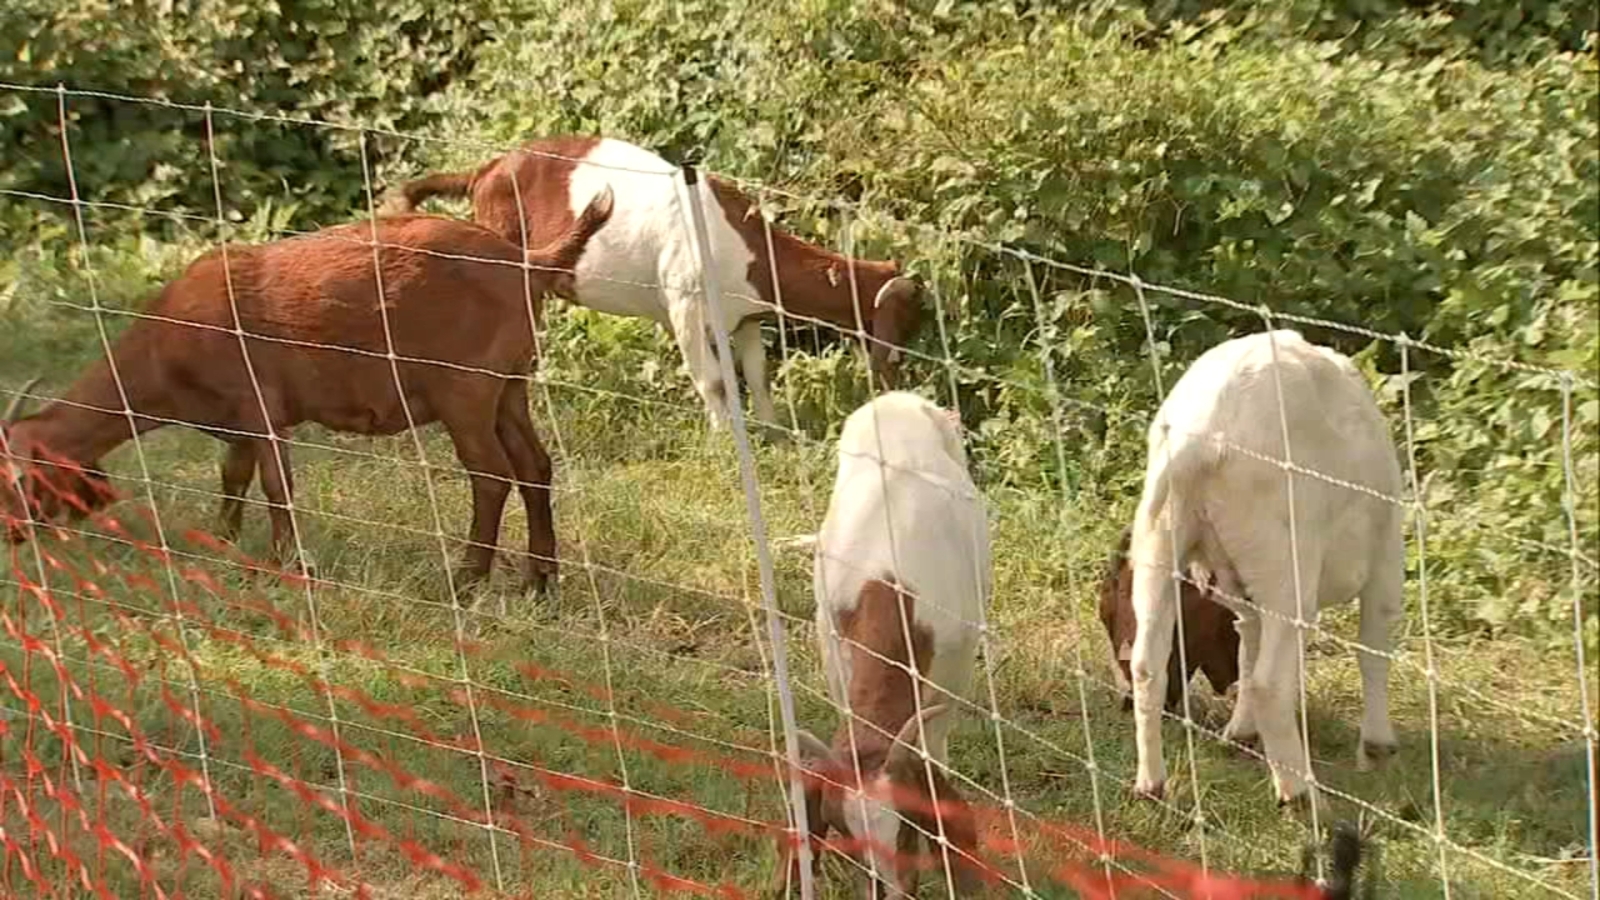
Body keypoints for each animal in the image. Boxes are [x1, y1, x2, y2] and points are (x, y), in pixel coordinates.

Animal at [1, 189, 614, 597]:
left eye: (13, 481)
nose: (9, 536)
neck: (163, 351)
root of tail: (527, 262)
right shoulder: (236, 419)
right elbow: (234, 475)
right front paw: (225, 539)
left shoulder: (258, 403)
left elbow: (277, 485)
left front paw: (291, 563)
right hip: (511, 384)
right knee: (534, 466)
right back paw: (541, 582)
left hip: (465, 388)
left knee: (490, 475)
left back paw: (465, 579)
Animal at [381, 136, 926, 429]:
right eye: (898, 321)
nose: (896, 375)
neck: (749, 250)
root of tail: (487, 169)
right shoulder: (684, 304)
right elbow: (713, 379)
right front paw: (723, 441)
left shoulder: (746, 315)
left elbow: (754, 373)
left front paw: (772, 432)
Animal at [781, 391, 989, 898]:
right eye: (840, 828)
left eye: (910, 825)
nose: (888, 889)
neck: (890, 581)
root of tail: (896, 398)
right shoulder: (834, 650)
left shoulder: (955, 669)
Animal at [1124, 329, 1403, 805]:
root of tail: (1202, 437)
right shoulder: (1386, 556)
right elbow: (1373, 647)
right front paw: (1376, 747)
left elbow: (1246, 642)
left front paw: (1241, 730)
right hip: (1286, 562)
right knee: (1270, 684)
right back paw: (1301, 795)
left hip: (1161, 541)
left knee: (1147, 665)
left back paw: (1152, 783)